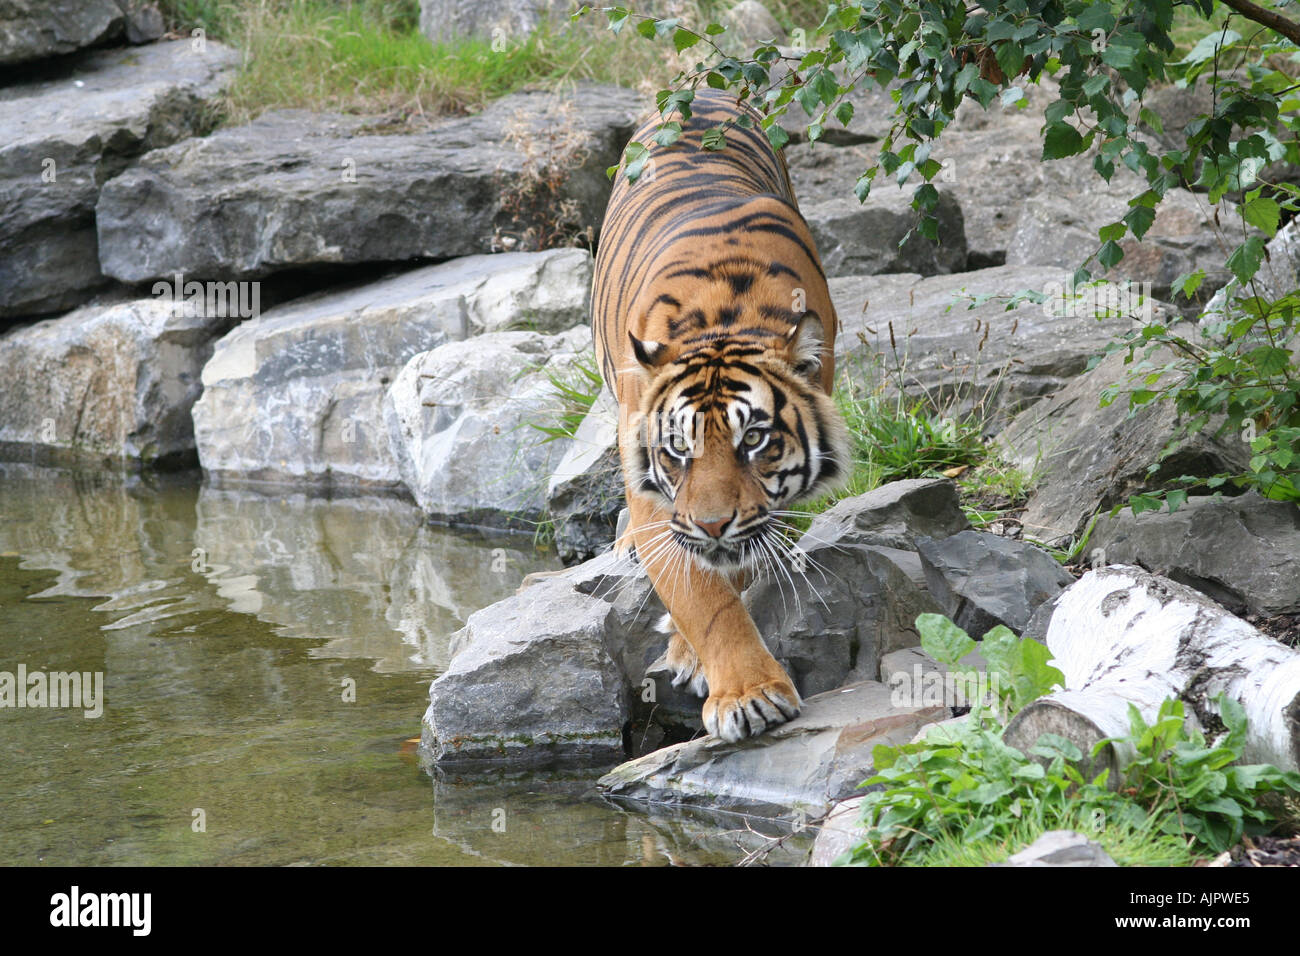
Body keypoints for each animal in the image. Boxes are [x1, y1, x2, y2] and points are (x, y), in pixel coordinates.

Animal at [591, 89, 851, 743]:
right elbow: (703, 599)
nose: (710, 525)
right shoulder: (658, 499)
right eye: (677, 449)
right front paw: (749, 697)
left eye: (754, 440)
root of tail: (702, 86)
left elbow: (726, 572)